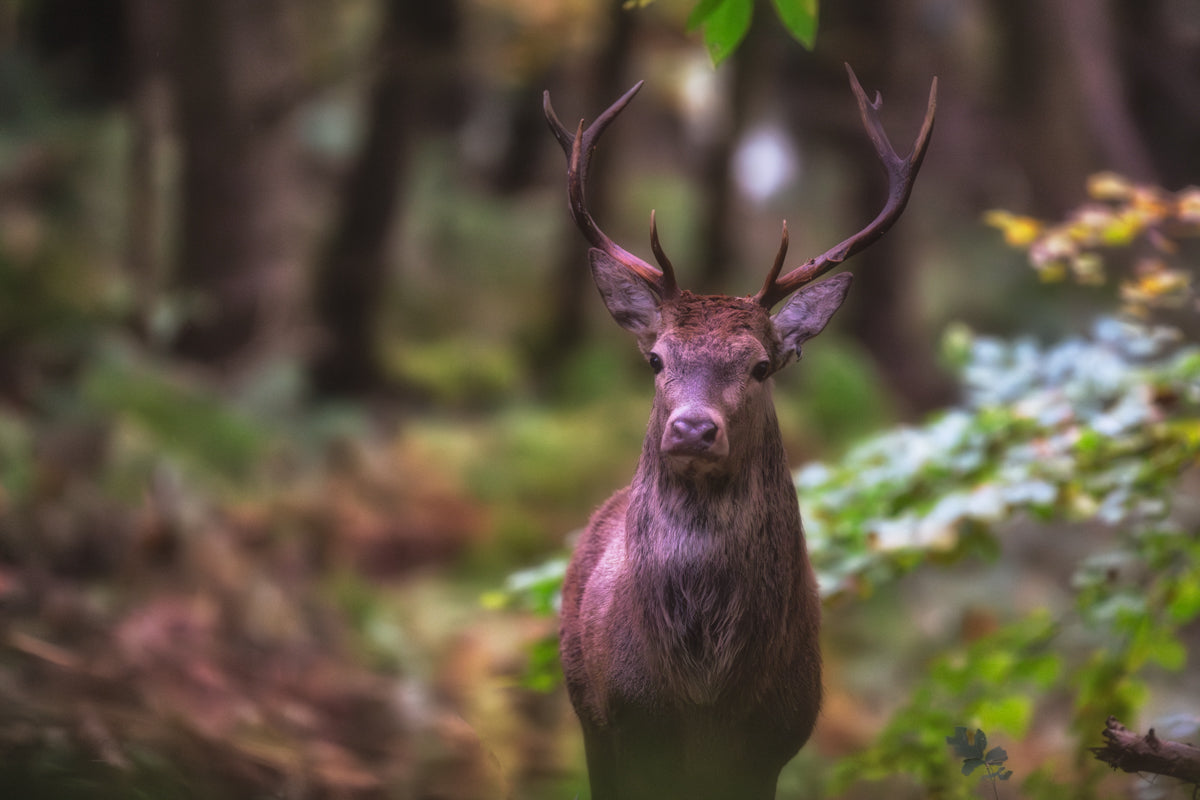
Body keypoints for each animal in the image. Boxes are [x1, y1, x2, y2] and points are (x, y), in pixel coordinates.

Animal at [544, 64, 936, 800]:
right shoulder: (626, 722)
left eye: (759, 364)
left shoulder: (776, 739)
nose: (694, 428)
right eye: (656, 358)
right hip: (585, 716)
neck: (705, 692)